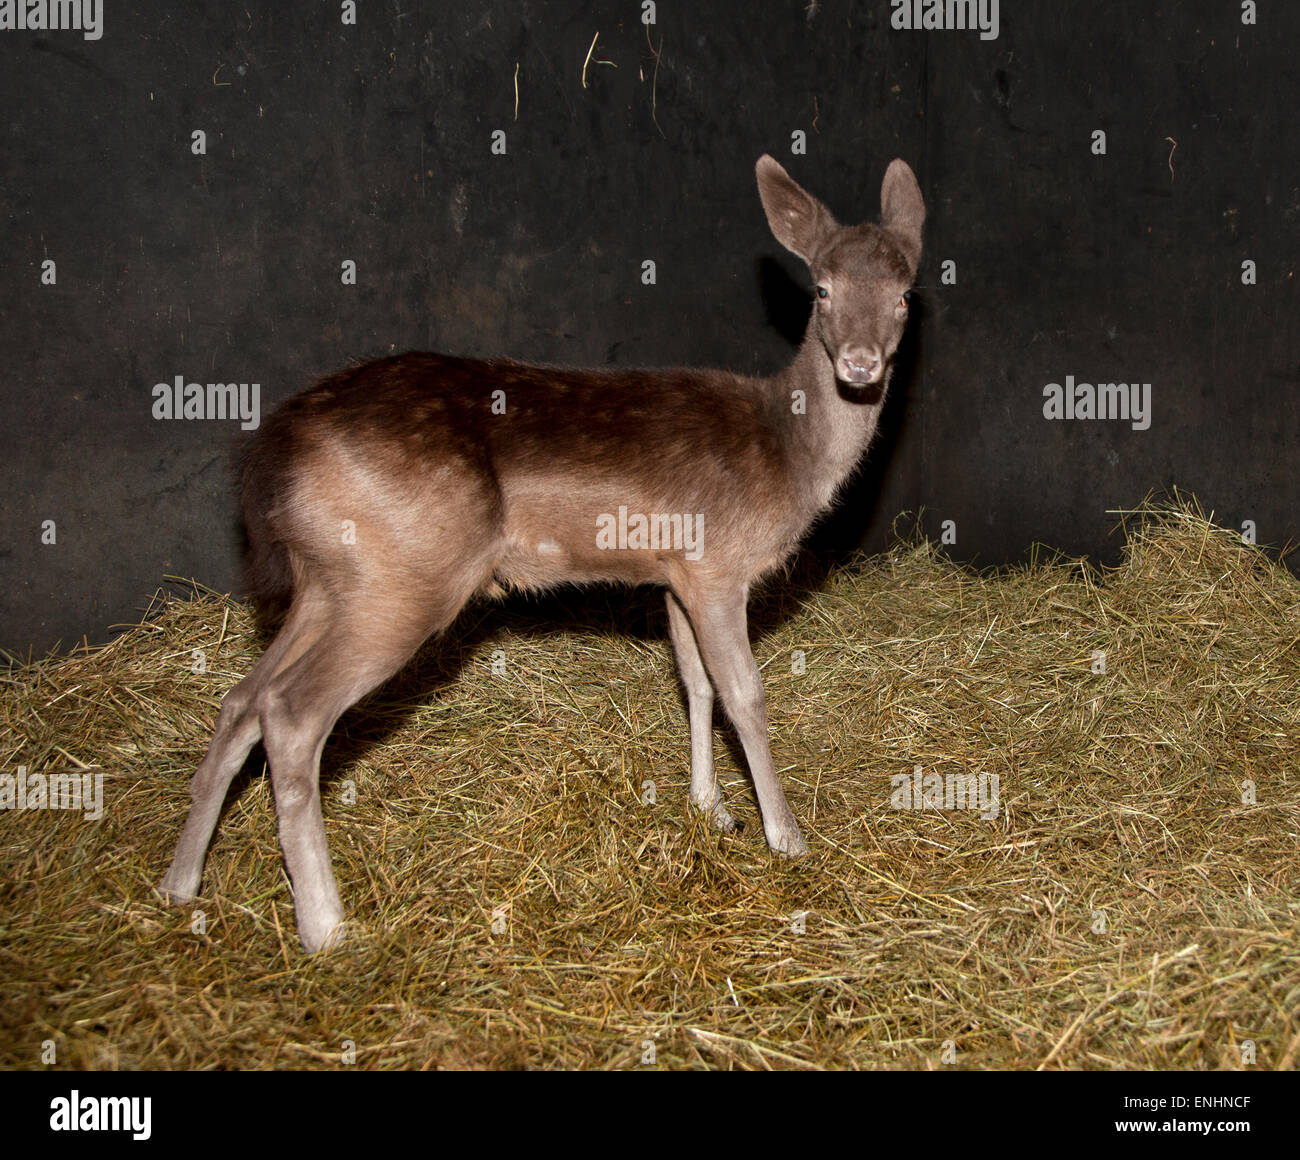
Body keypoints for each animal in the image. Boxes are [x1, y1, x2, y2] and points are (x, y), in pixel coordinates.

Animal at [158, 154, 925, 952]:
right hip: (403, 578)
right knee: (291, 711)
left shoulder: (675, 573)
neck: (787, 458)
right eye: (822, 288)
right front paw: (786, 837)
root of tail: (273, 456)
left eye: (905, 294)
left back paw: (180, 885)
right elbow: (743, 692)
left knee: (243, 697)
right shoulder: (717, 563)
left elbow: (696, 683)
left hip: (329, 580)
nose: (862, 362)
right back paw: (327, 926)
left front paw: (710, 808)